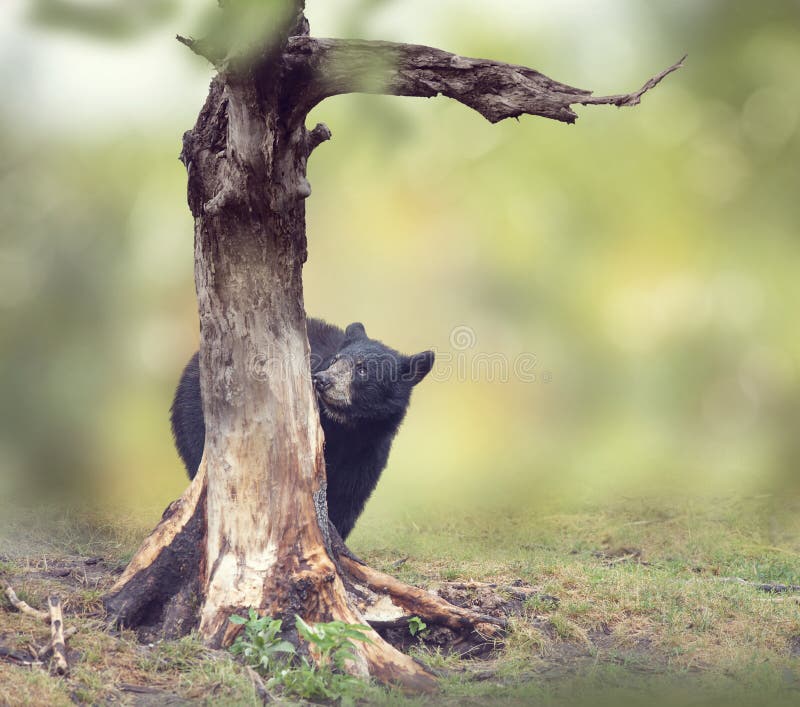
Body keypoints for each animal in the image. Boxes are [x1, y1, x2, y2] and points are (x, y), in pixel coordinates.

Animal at [170, 318, 434, 539]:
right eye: (335, 359)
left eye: (362, 369)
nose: (322, 380)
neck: (347, 429)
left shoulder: (369, 451)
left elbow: (350, 495)